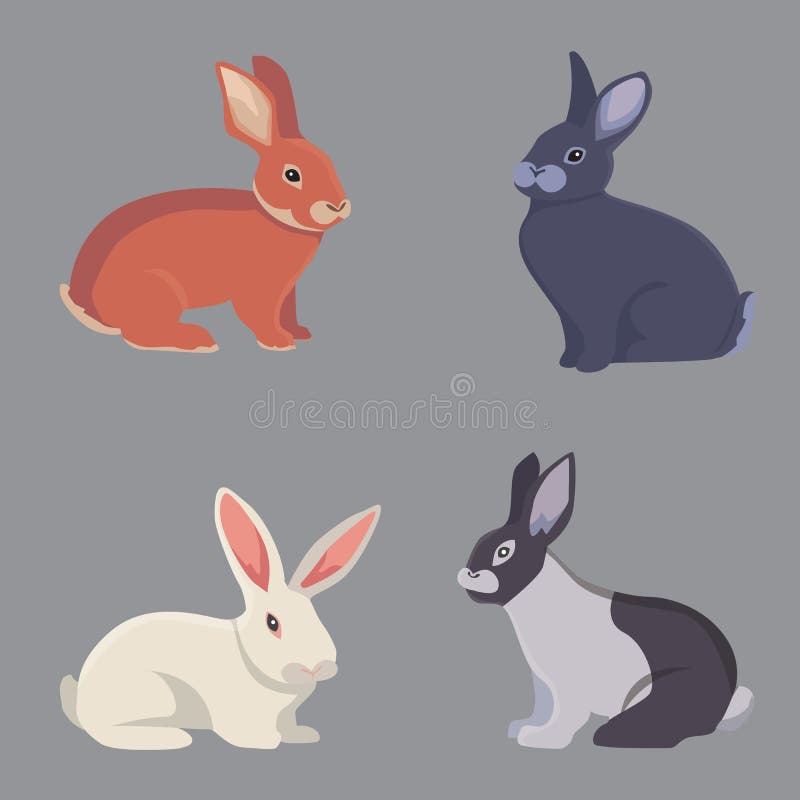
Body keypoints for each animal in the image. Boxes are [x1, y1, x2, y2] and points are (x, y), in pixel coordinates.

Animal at [59, 489, 380, 750]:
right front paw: (267, 742)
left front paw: (304, 736)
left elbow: (289, 726)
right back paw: (174, 738)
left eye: (316, 617)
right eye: (272, 623)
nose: (316, 667)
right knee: (106, 732)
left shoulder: (286, 714)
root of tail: (82, 703)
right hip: (155, 694)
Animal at [60, 56, 350, 352]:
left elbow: (285, 313)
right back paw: (198, 339)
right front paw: (279, 342)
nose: (338, 207)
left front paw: (298, 333)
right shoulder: (257, 289)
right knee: (139, 334)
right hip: (159, 291)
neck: (274, 218)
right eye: (292, 175)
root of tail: (92, 309)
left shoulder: (287, 293)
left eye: (329, 162)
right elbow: (258, 315)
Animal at [457, 451, 753, 748]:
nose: (469, 574)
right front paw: (523, 727)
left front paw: (543, 738)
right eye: (479, 542)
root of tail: (726, 701)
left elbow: (566, 714)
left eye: (503, 552)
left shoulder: (567, 685)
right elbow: (543, 707)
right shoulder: (543, 685)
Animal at [515, 52, 754, 372]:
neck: (566, 206)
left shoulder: (597, 301)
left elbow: (597, 331)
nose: (533, 169)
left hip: (650, 306)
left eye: (575, 155)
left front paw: (589, 366)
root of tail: (723, 342)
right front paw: (566, 362)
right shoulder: (566, 312)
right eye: (538, 140)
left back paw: (632, 355)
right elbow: (572, 334)